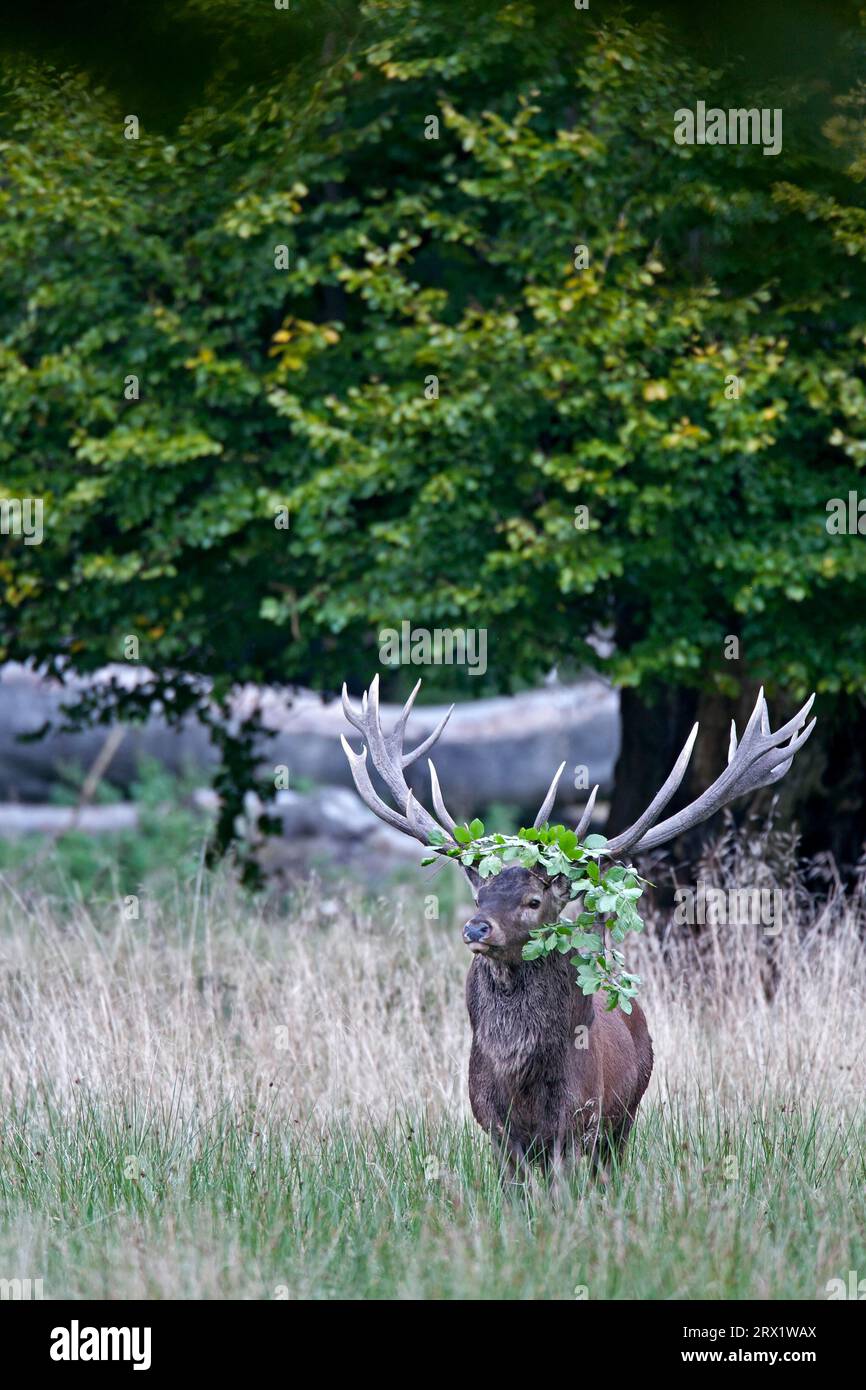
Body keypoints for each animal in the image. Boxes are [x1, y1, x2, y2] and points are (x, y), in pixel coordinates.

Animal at [340, 675, 816, 1182]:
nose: (476, 928)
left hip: (625, 1116)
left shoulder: (576, 1121)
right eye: (479, 896)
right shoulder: (493, 1127)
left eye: (533, 901)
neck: (518, 1078)